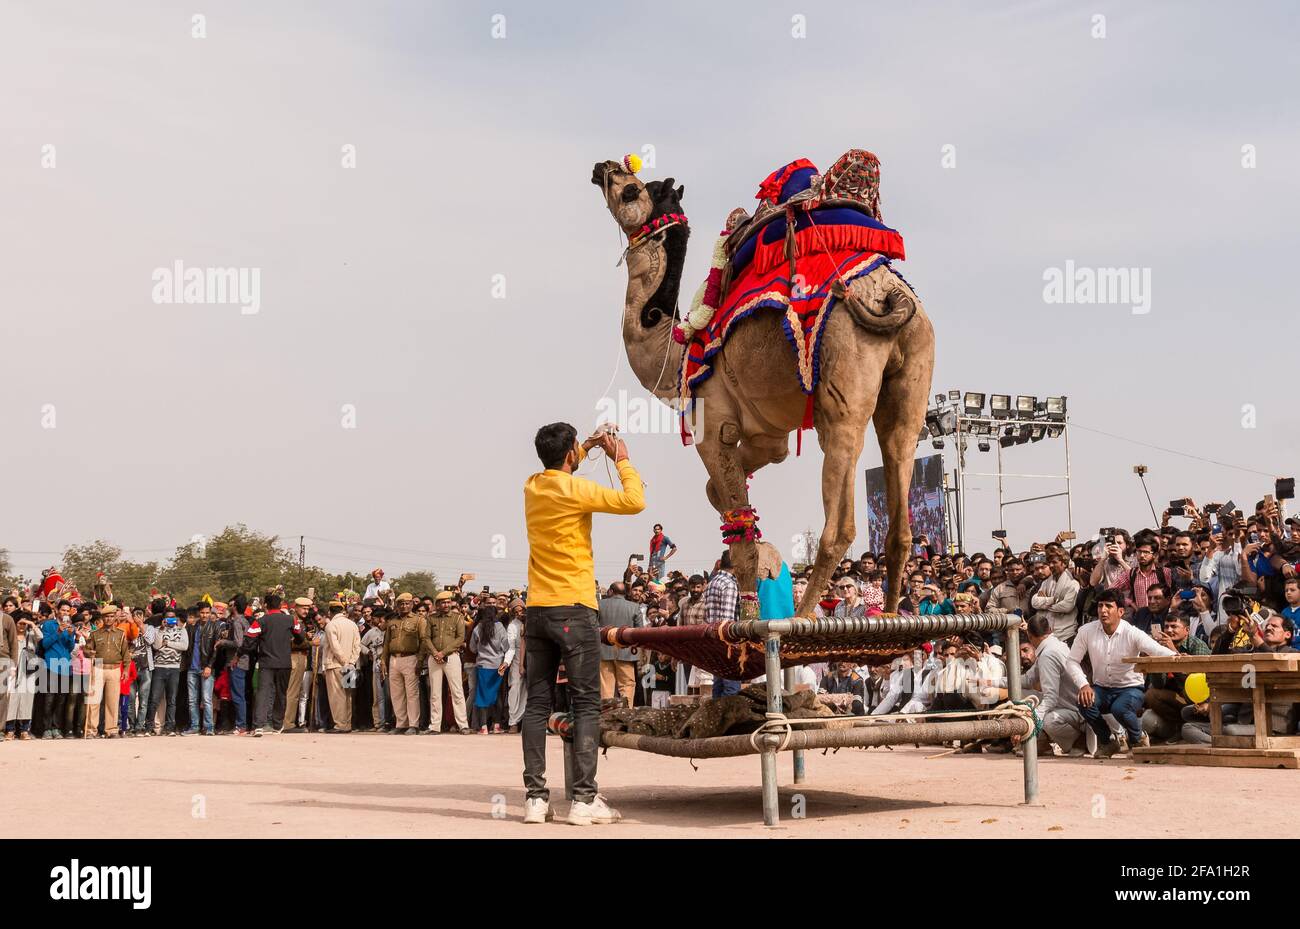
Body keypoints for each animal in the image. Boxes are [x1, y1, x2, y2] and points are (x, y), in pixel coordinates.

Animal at [591, 158, 935, 616]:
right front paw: (765, 559)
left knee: (841, 522)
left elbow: (740, 534)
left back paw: (802, 617)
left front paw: (749, 609)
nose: (602, 166)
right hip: (913, 373)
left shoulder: (712, 426)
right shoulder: (768, 437)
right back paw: (894, 614)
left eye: (630, 189)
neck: (677, 351)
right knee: (900, 496)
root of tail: (888, 292)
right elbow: (727, 499)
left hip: (843, 384)